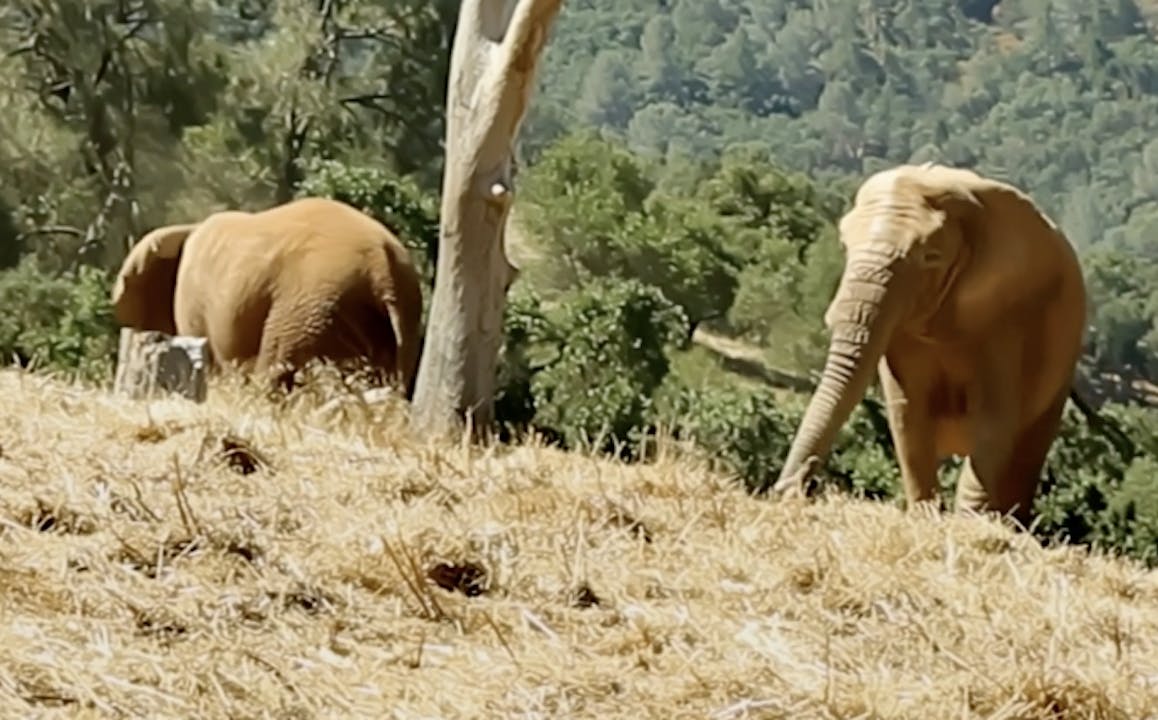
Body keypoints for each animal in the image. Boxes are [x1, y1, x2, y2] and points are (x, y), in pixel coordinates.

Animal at [771, 162, 1087, 526]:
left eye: (930, 257)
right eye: (845, 246)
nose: (798, 489)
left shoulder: (1009, 318)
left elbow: (993, 420)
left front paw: (968, 525)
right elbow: (906, 413)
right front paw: (926, 517)